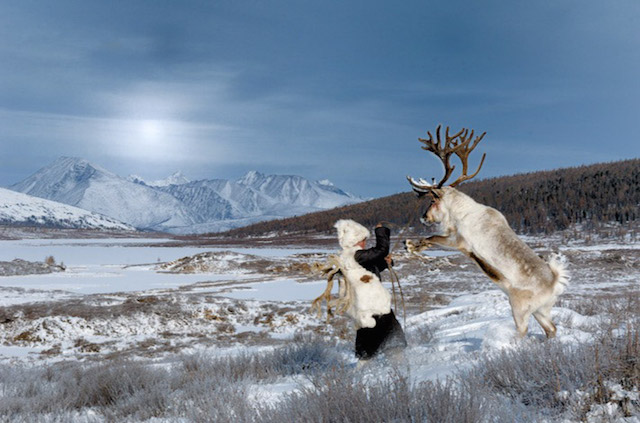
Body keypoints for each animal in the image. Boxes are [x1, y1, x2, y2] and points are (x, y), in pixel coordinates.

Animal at [405, 125, 569, 339]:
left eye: (432, 200)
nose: (423, 217)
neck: (459, 212)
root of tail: (554, 283)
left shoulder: (459, 242)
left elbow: (431, 238)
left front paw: (410, 246)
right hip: (541, 311)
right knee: (551, 329)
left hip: (519, 309)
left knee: (523, 330)